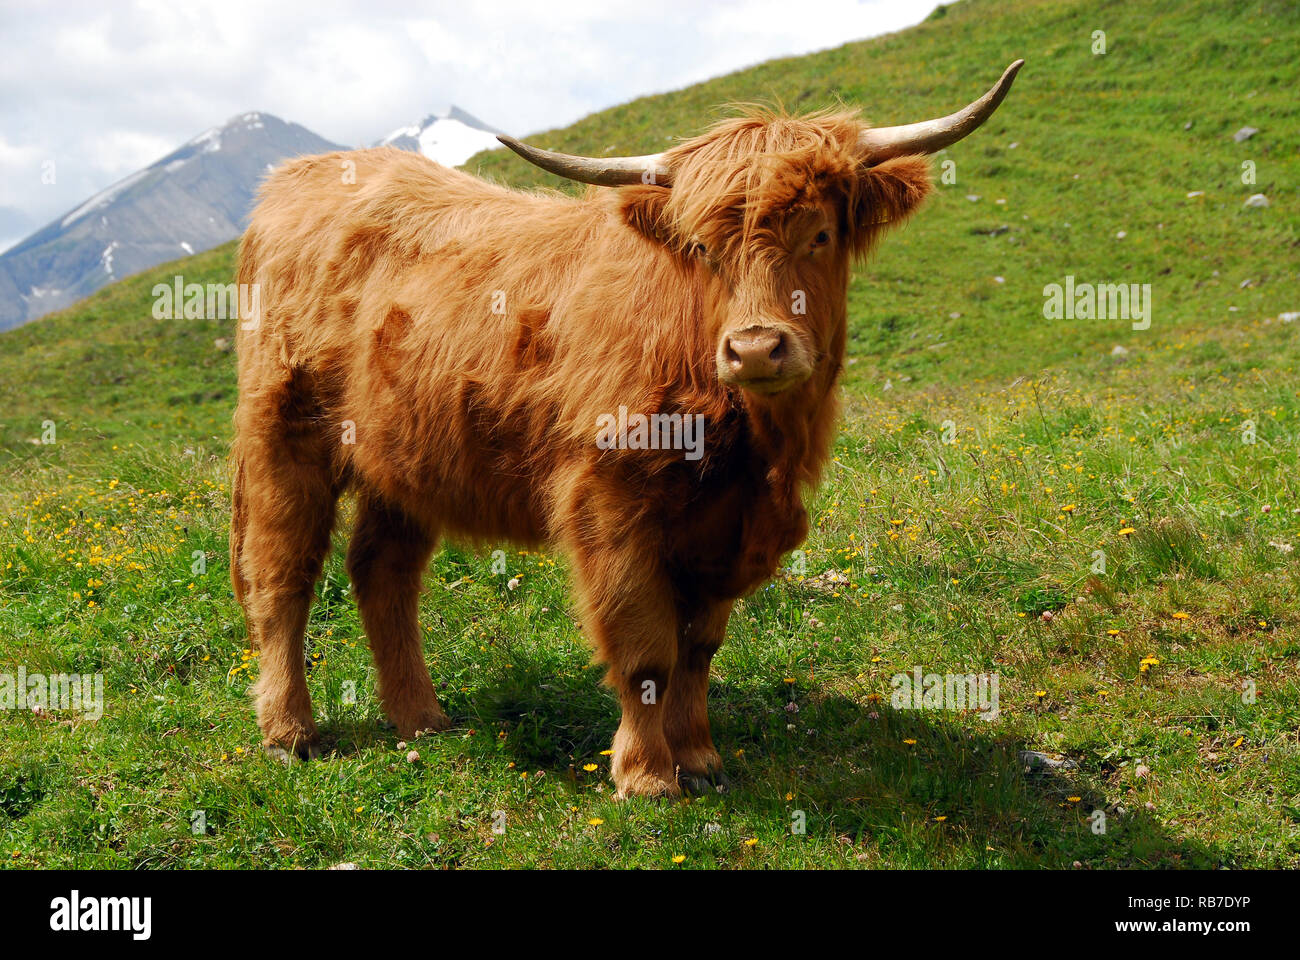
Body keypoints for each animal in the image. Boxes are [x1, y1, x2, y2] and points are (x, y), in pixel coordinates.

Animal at [230, 61, 1022, 797]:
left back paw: (422, 719)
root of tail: (299, 178)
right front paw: (645, 775)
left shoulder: (728, 529)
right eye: (702, 249)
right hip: (284, 434)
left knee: (381, 571)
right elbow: (645, 648)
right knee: (282, 575)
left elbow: (699, 648)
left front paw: (699, 756)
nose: (755, 349)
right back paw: (290, 731)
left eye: (821, 234)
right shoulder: (610, 504)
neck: (747, 446)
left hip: (406, 455)